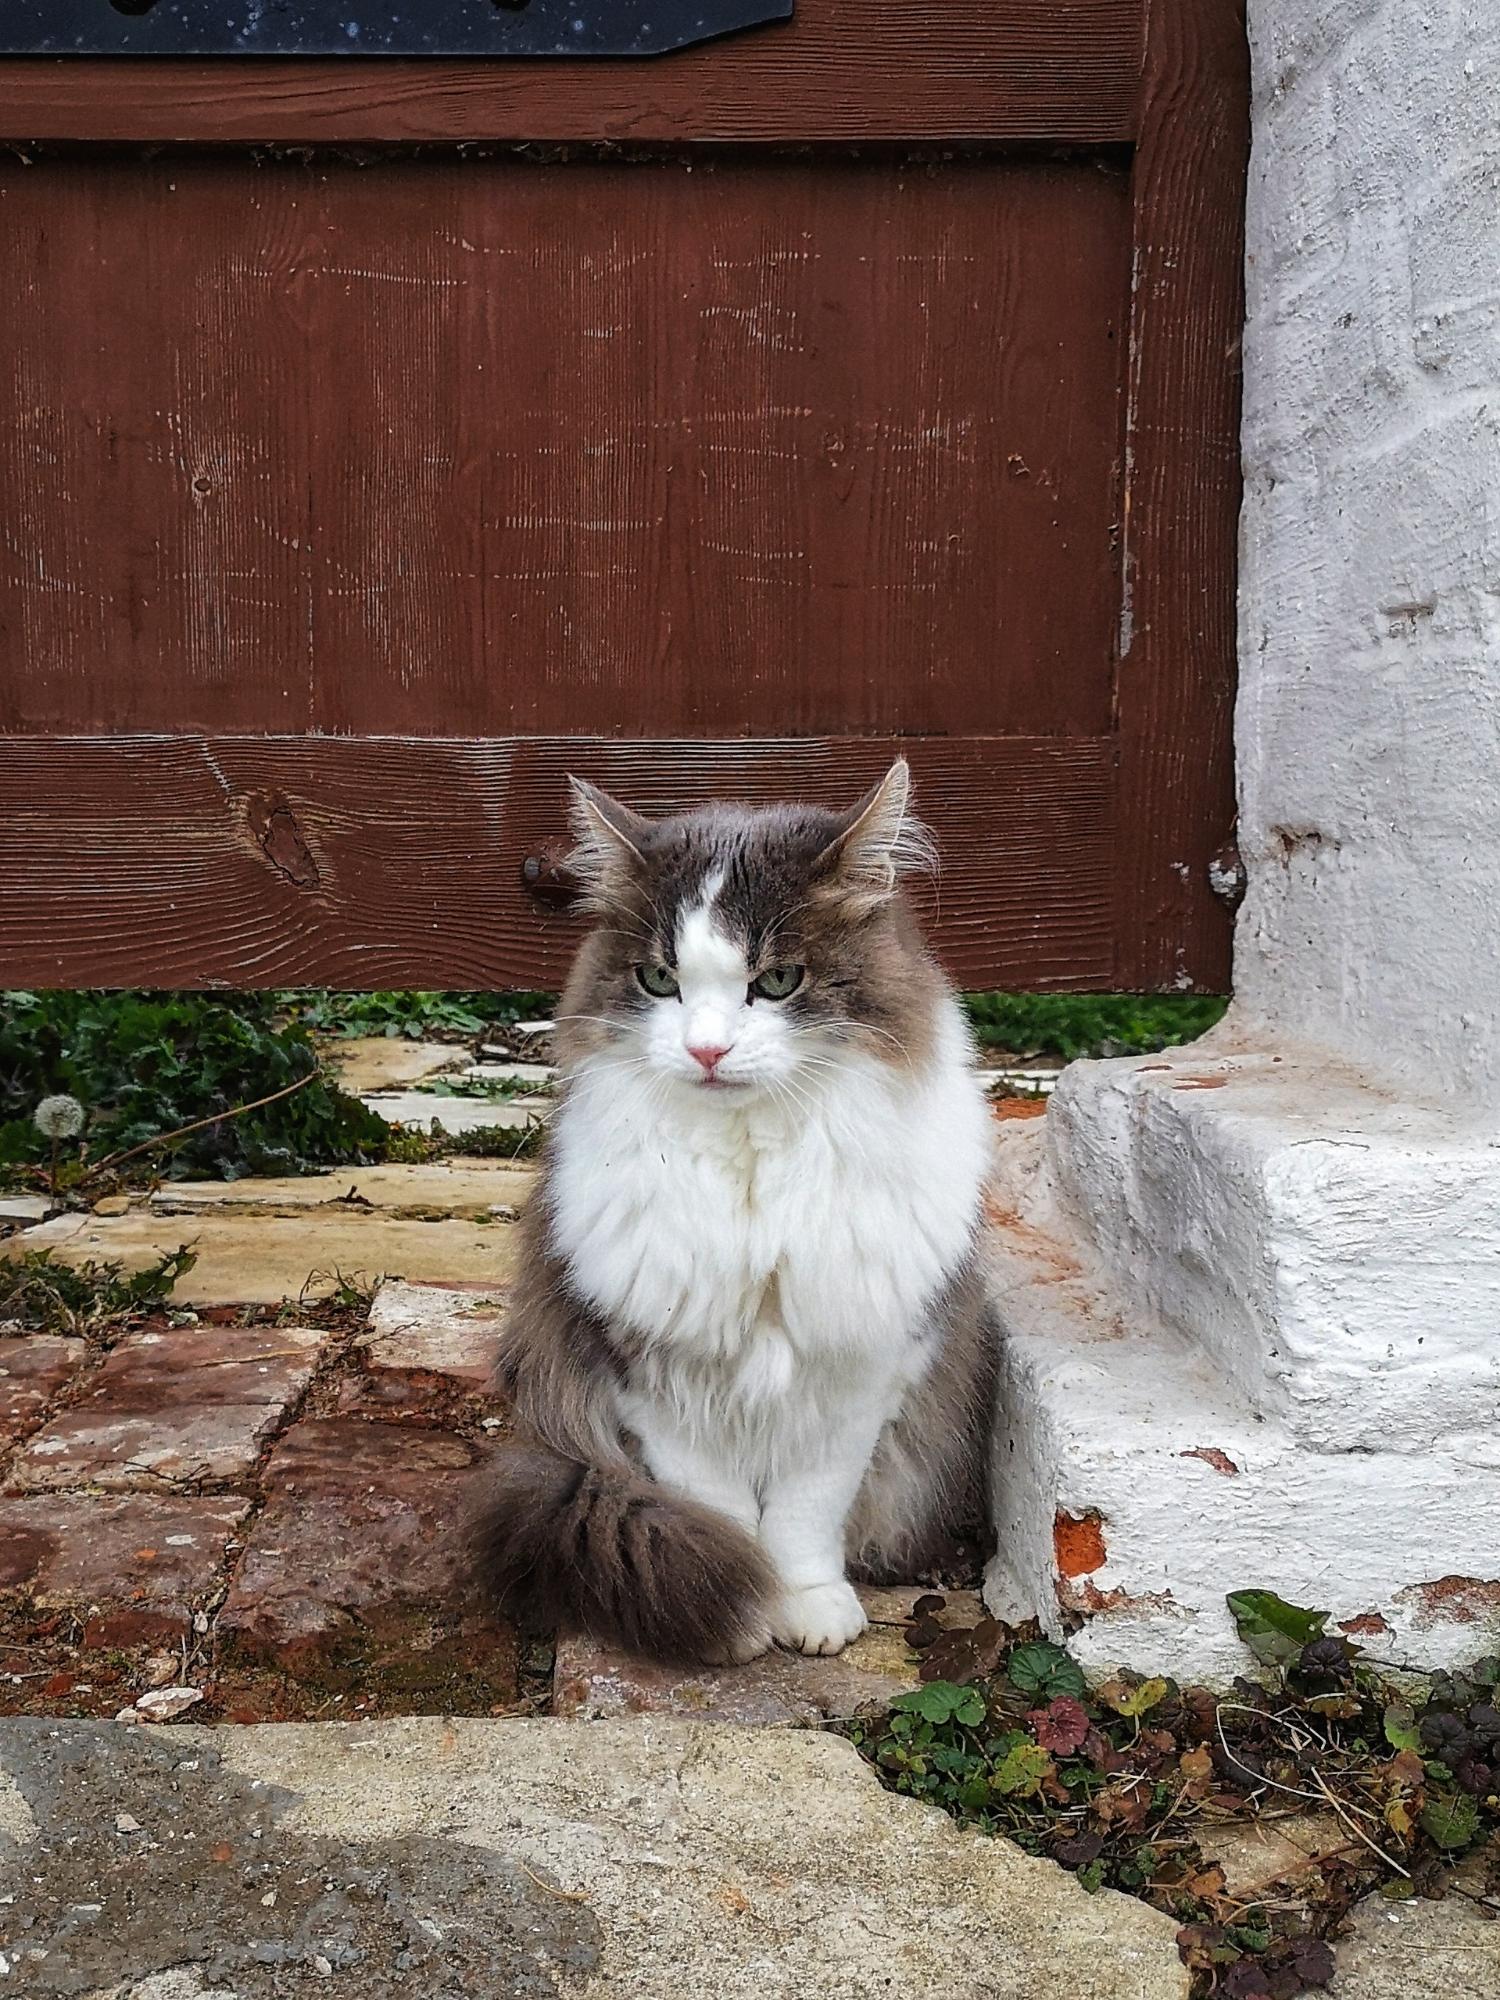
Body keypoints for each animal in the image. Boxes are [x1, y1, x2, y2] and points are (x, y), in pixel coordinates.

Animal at [478, 756, 1000, 1664]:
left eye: (778, 980)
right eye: (660, 980)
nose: (707, 1050)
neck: (751, 1169)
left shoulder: (858, 1371)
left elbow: (806, 1512)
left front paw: (809, 1606)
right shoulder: (654, 1374)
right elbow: (717, 1505)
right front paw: (747, 1607)